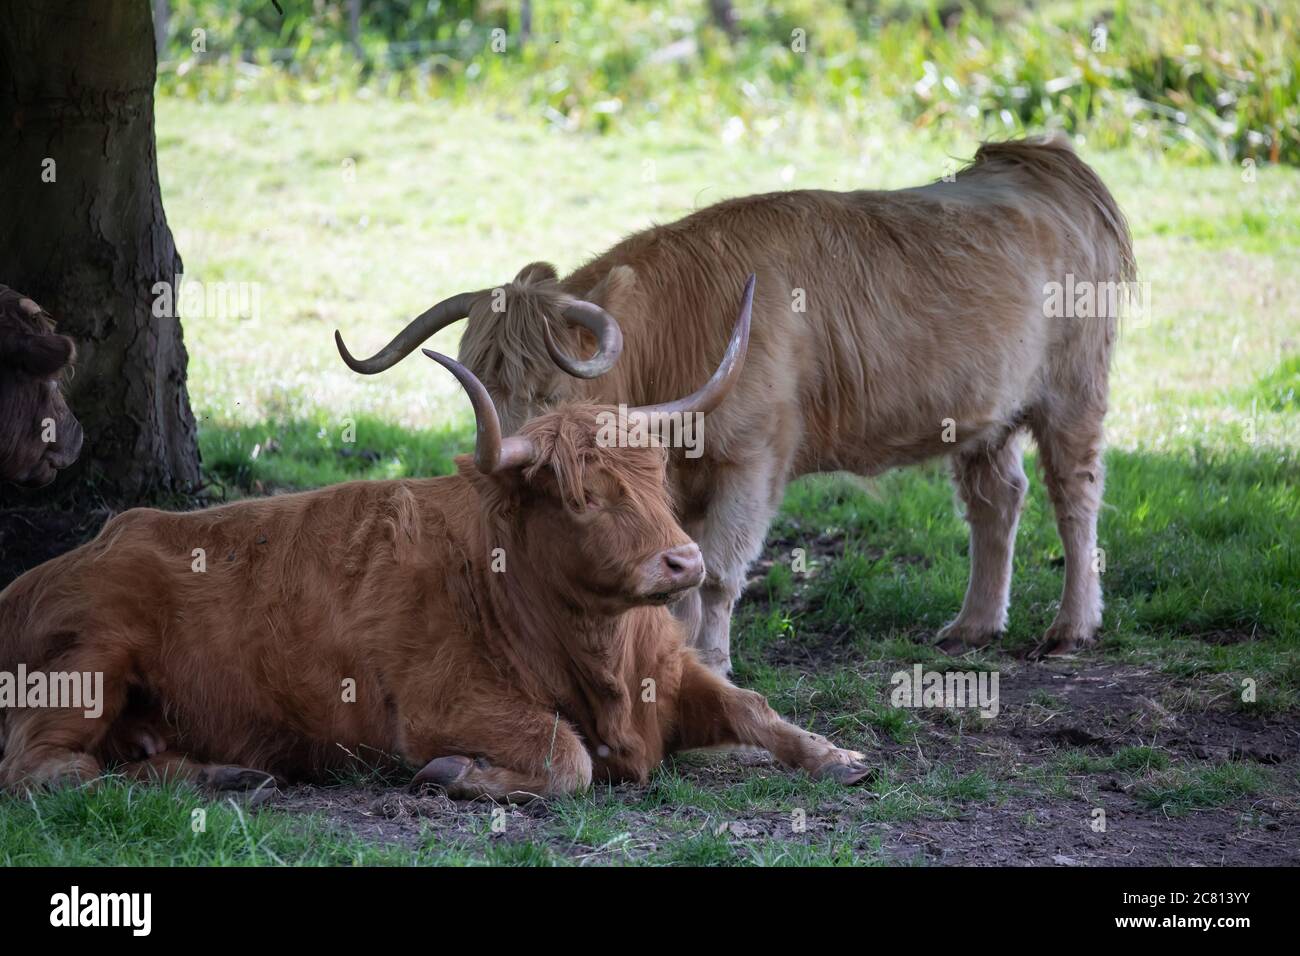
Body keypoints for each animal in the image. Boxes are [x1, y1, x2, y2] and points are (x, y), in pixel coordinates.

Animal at [336, 135, 1135, 672]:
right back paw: (973, 624)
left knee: (1075, 496)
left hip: (1073, 393)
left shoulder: (752, 461)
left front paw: (713, 661)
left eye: (552, 390)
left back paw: (1071, 627)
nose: (494, 466)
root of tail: (1038, 160)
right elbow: (676, 576)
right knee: (997, 499)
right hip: (985, 416)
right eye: (475, 375)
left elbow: (718, 572)